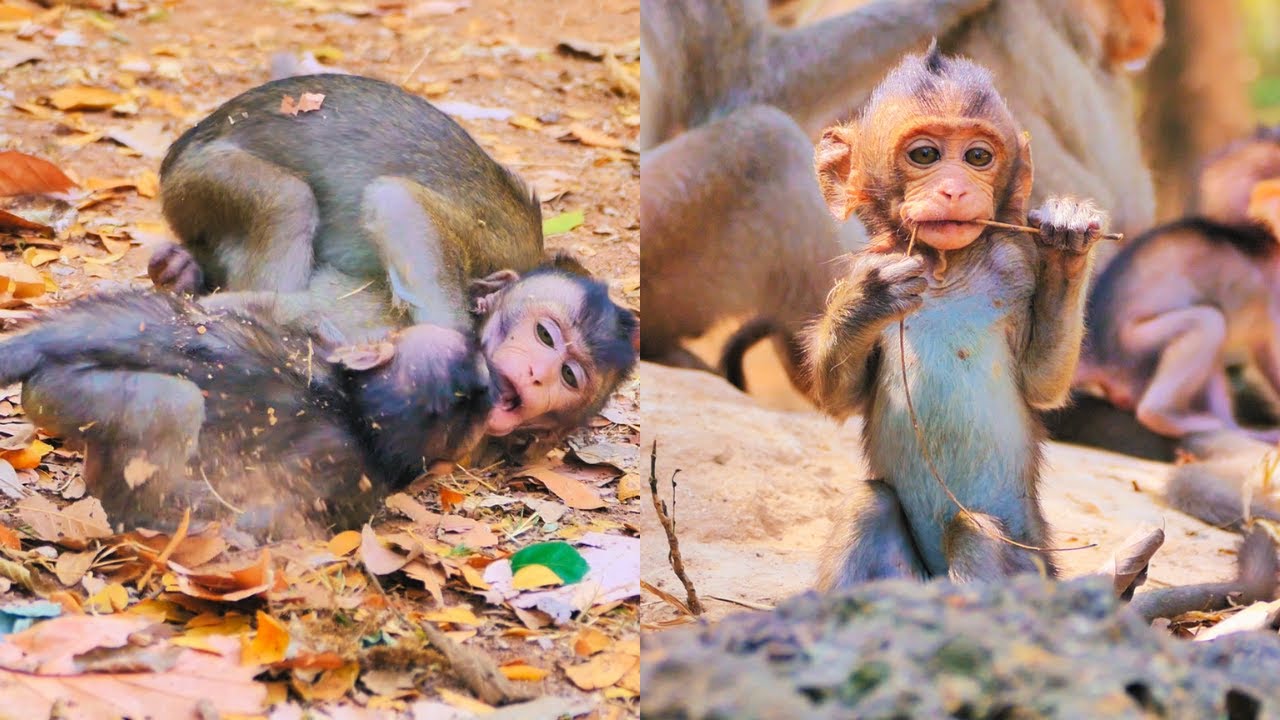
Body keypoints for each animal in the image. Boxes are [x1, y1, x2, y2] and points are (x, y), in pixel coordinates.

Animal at [0, 264, 635, 539]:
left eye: (570, 376)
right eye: (547, 337)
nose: (536, 374)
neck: (355, 411)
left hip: (75, 392)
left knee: (162, 404)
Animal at [146, 73, 636, 451]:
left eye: (568, 377)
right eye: (545, 336)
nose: (538, 376)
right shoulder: (493, 246)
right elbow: (398, 203)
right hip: (199, 178)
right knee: (289, 201)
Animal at [806, 48, 1106, 588]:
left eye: (978, 158)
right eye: (925, 155)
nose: (952, 191)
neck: (946, 266)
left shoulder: (1014, 264)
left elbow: (1042, 384)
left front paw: (1068, 239)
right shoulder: (862, 262)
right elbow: (839, 398)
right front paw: (868, 301)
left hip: (1032, 570)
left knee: (976, 530)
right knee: (869, 503)